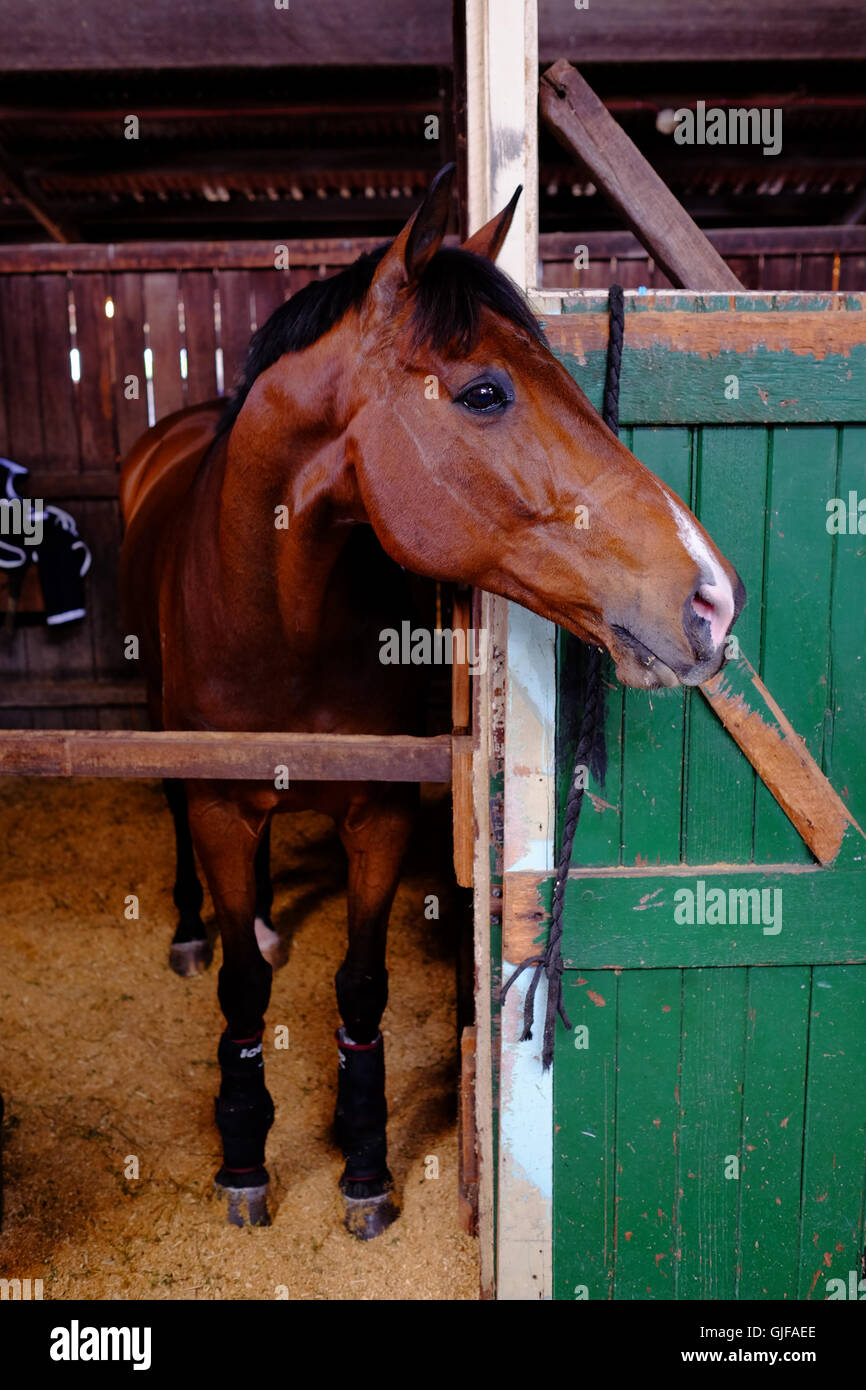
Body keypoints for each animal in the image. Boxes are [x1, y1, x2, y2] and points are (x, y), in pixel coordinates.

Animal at [118, 164, 745, 1239]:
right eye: (484, 392)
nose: (711, 597)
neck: (276, 623)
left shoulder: (377, 811)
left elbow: (360, 986)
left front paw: (366, 1164)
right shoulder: (220, 806)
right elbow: (244, 990)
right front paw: (244, 1155)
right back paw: (197, 928)